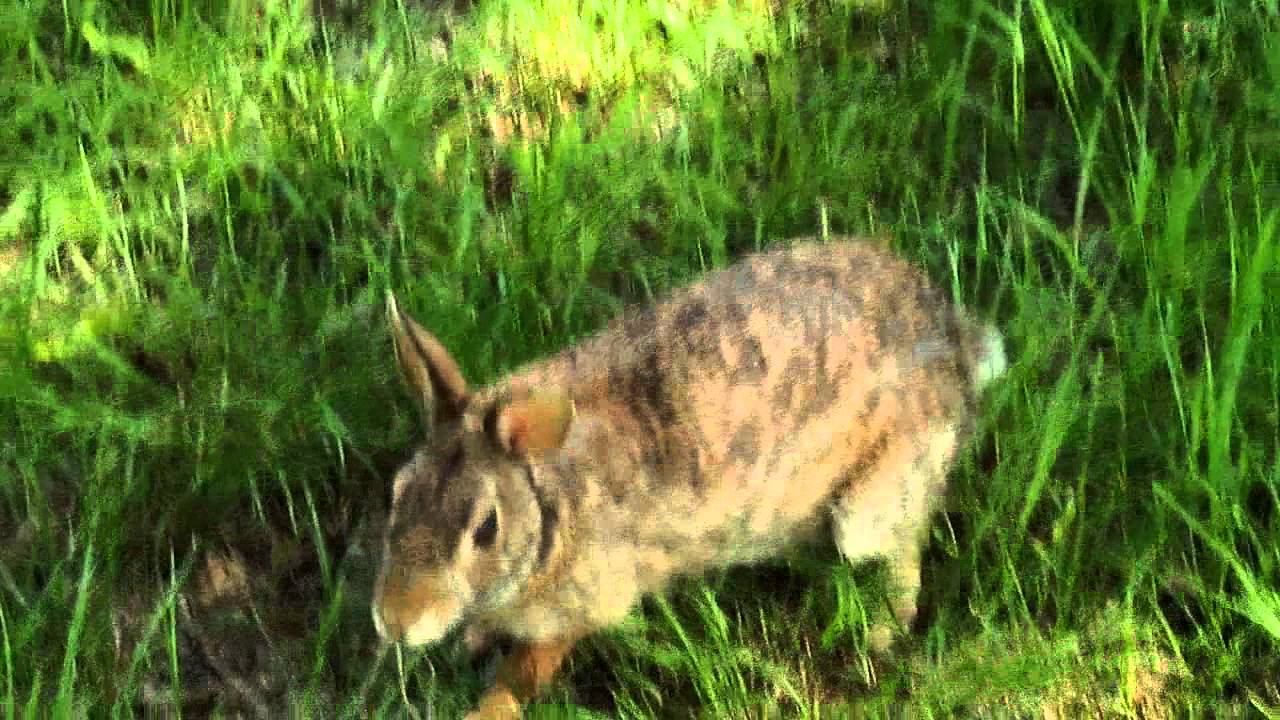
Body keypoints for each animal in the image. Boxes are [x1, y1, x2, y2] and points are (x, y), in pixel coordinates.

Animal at [372, 235, 1007, 719]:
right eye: (398, 495)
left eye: (486, 530)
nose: (395, 622)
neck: (550, 506)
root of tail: (957, 339)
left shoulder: (587, 604)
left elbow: (525, 670)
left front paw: (486, 708)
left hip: (874, 500)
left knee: (901, 547)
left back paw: (881, 635)